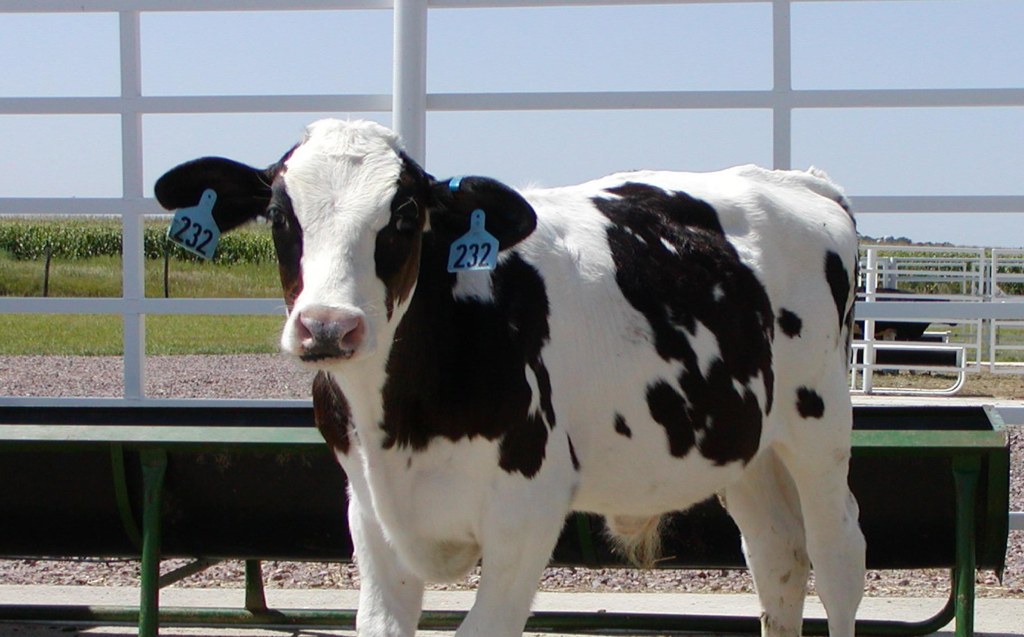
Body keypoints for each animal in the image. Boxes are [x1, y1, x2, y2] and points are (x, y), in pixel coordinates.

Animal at [155, 119, 866, 637]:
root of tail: (794, 180)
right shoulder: (370, 511)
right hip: (748, 444)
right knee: (777, 560)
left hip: (820, 427)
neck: (401, 423)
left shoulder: (528, 510)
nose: (328, 326)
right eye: (279, 214)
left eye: (405, 214)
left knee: (837, 561)